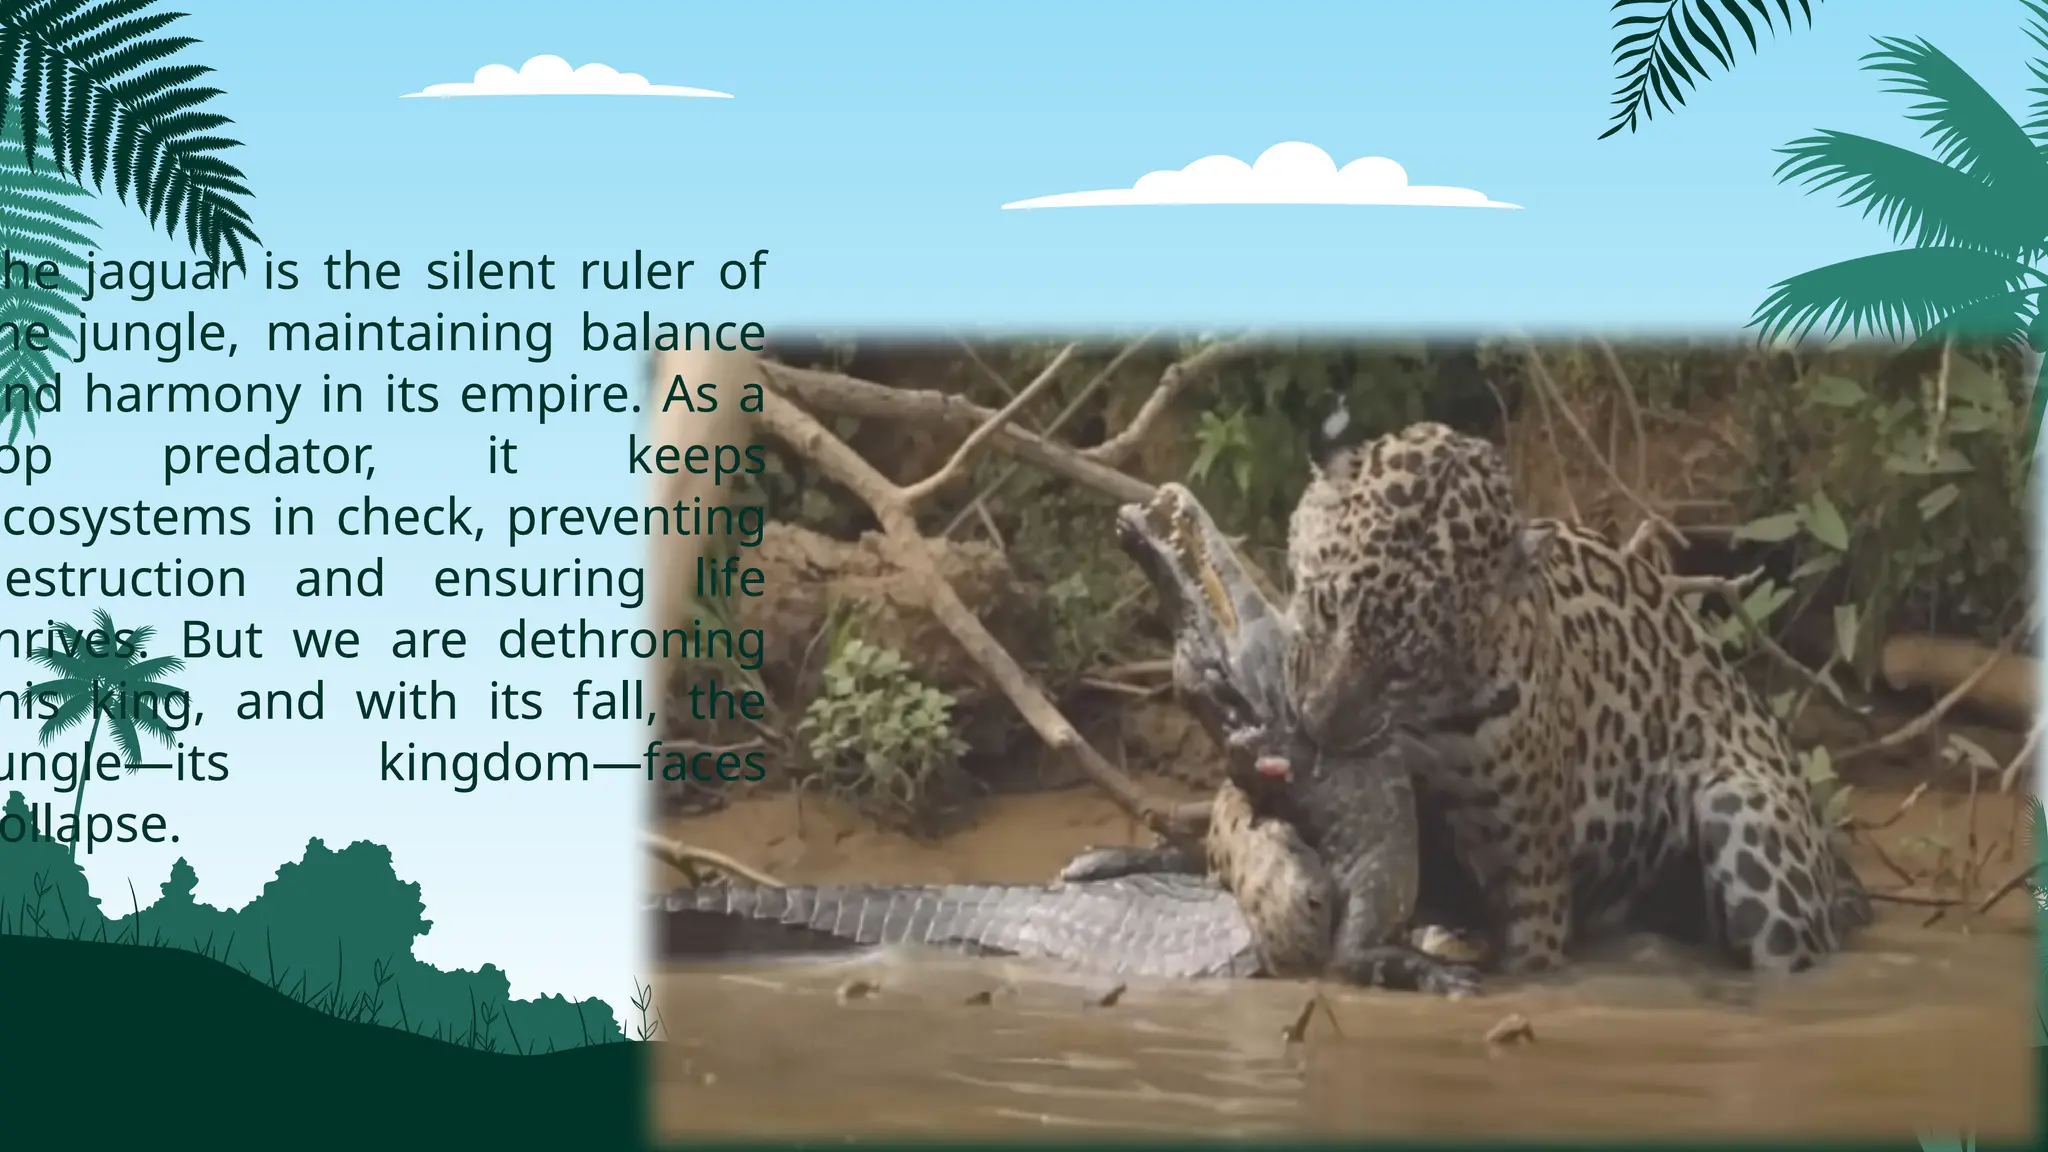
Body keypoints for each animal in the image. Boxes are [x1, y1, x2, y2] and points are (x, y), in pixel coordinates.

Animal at [1281, 419, 1873, 977]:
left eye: (1408, 666)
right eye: (1326, 608)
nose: (1318, 725)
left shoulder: (1530, 873)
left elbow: (1530, 959)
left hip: (1750, 821)